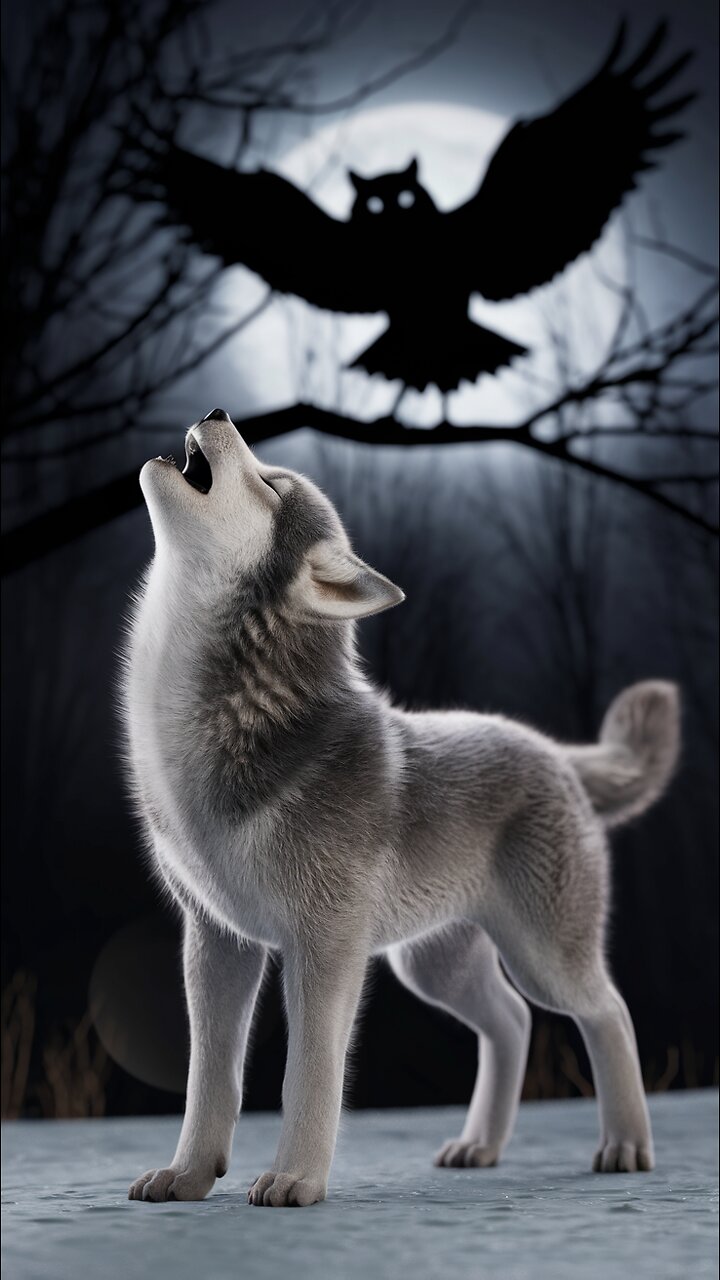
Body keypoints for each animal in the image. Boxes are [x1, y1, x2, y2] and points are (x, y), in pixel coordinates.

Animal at [122, 407, 680, 1208]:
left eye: (271, 484)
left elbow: (308, 1073)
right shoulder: (216, 942)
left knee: (608, 1012)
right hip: (433, 966)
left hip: (540, 956)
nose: (219, 414)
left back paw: (627, 1145)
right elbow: (210, 1081)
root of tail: (553, 750)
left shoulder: (324, 948)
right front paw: (189, 1175)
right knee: (512, 1023)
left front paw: (295, 1179)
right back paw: (480, 1146)